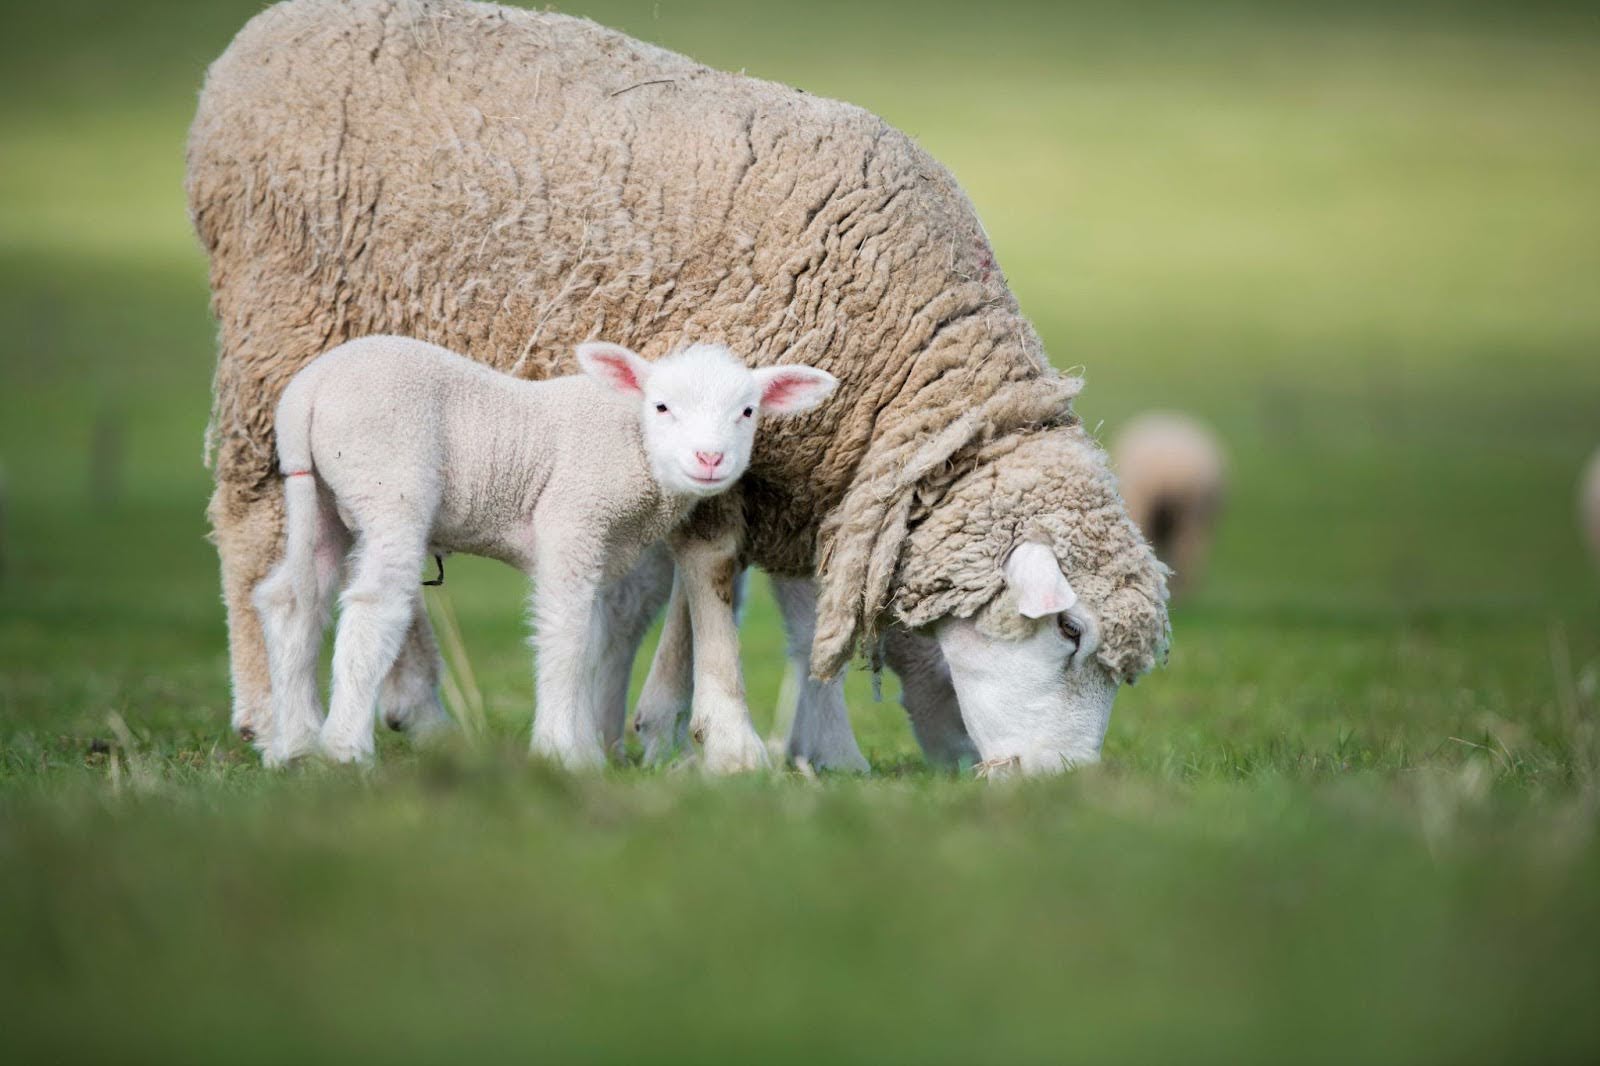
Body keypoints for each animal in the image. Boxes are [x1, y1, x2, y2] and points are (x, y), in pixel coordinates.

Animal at [250, 334, 835, 768]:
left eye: (748, 411)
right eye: (662, 406)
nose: (710, 459)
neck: (632, 439)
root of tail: (307, 391)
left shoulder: (599, 549)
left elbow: (593, 638)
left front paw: (585, 751)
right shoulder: (571, 523)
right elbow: (565, 636)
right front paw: (559, 753)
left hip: (322, 496)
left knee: (293, 600)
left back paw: (293, 747)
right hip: (389, 481)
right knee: (374, 606)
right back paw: (344, 750)